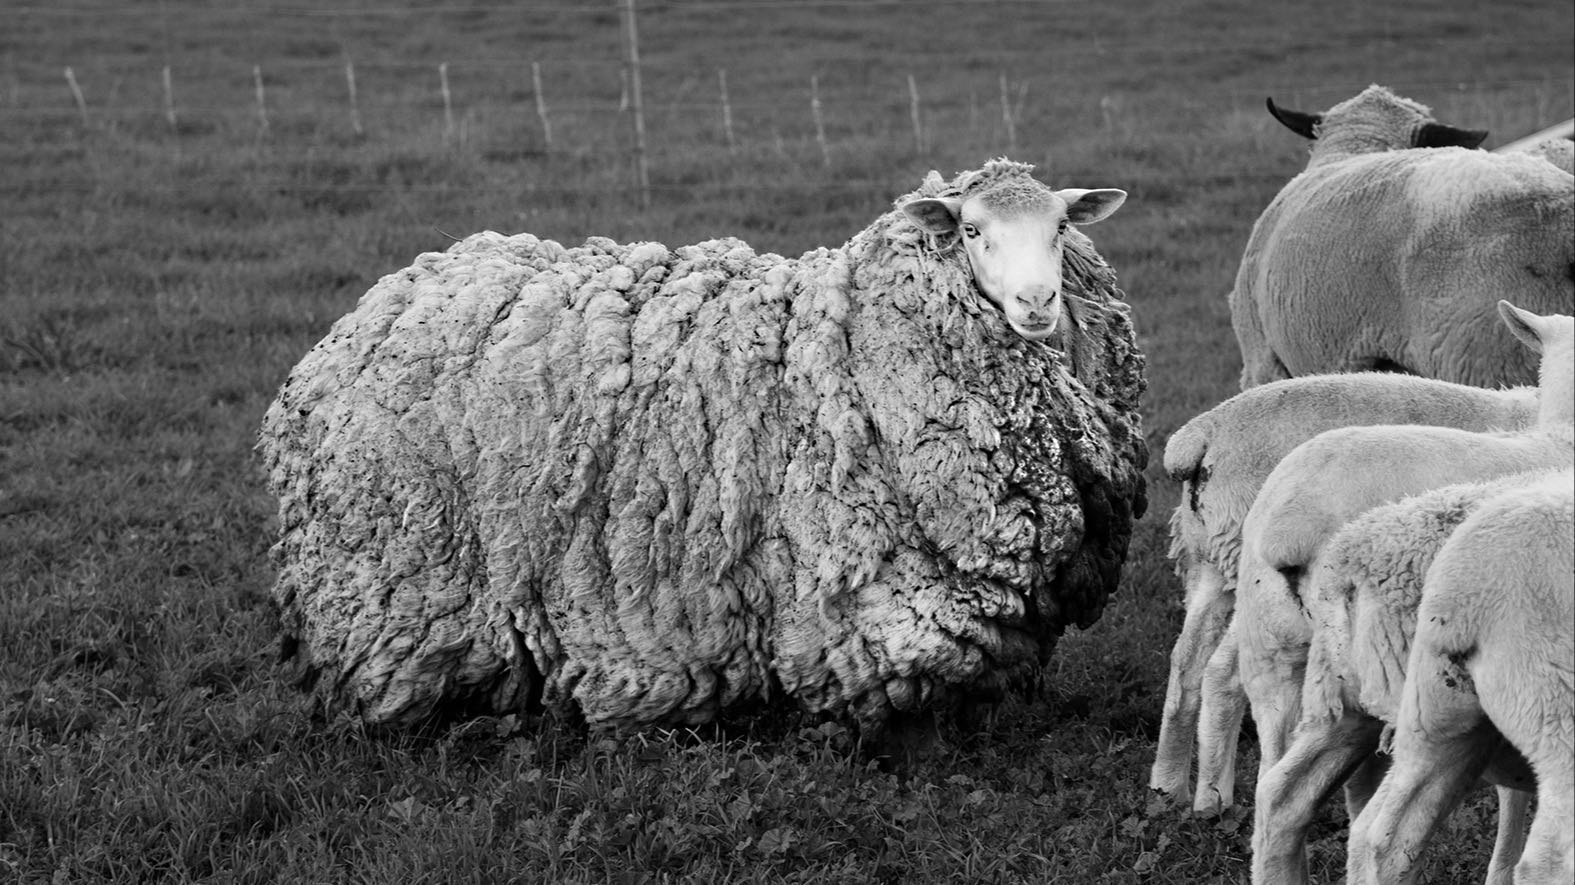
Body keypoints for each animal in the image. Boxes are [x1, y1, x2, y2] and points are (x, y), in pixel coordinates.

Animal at [257, 159, 1150, 736]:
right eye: (969, 230)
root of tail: (369, 313)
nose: (1036, 303)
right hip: (397, 585)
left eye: (1060, 226)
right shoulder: (858, 597)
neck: (860, 342)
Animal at [1148, 373, 1538, 808]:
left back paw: (1172, 788)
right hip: (1258, 579)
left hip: (1213, 564)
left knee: (1189, 659)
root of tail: (1200, 433)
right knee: (1227, 672)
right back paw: (1215, 795)